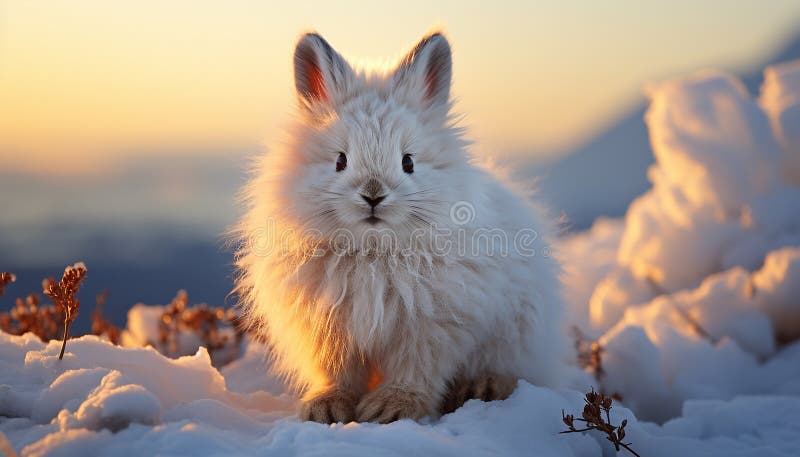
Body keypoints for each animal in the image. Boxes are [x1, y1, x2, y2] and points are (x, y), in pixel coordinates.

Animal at [232, 31, 569, 424]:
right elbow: (336, 371)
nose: (373, 195)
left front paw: (389, 409)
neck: (373, 250)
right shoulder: (328, 329)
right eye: (340, 160)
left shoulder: (429, 327)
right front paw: (326, 408)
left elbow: (415, 369)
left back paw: (483, 387)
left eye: (408, 162)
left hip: (517, 335)